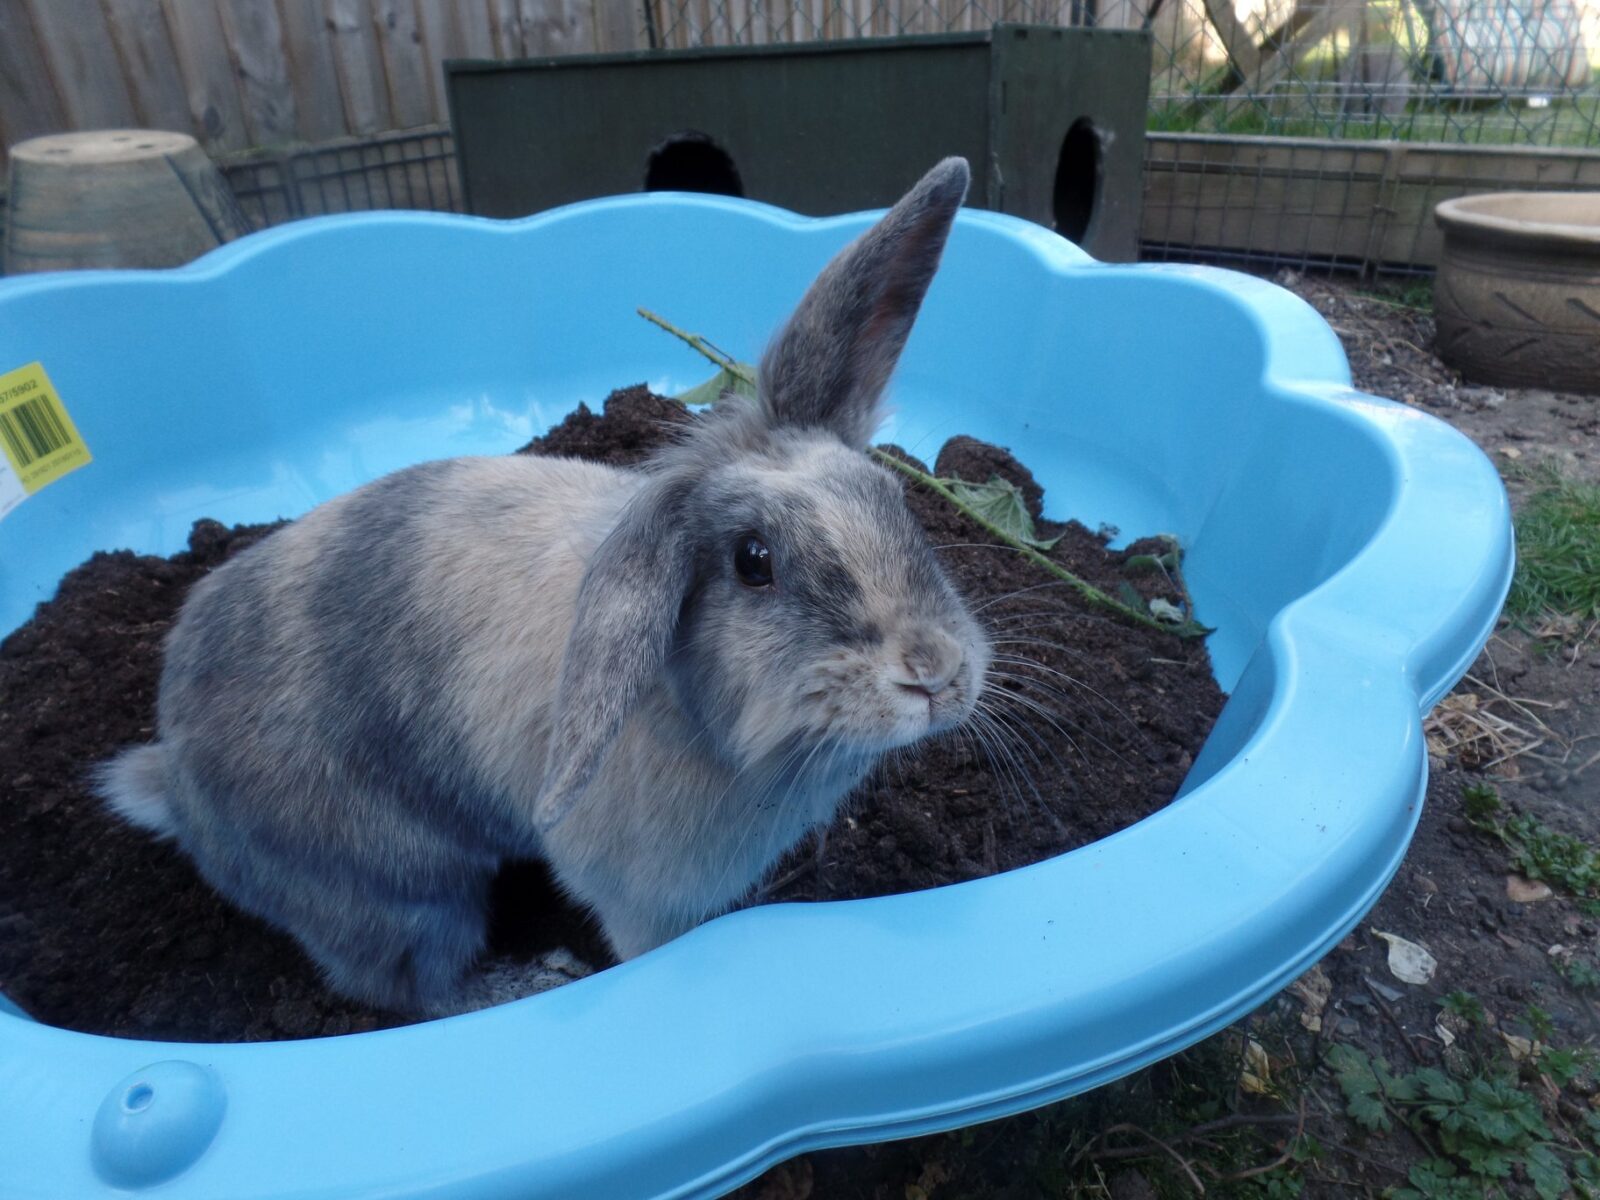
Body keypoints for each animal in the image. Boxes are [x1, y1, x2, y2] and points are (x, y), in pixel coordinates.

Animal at [96, 157, 990, 1013]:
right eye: (753, 560)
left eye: (893, 500)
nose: (937, 673)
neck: (692, 710)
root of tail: (176, 777)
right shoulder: (639, 900)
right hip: (399, 892)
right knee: (407, 986)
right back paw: (535, 977)